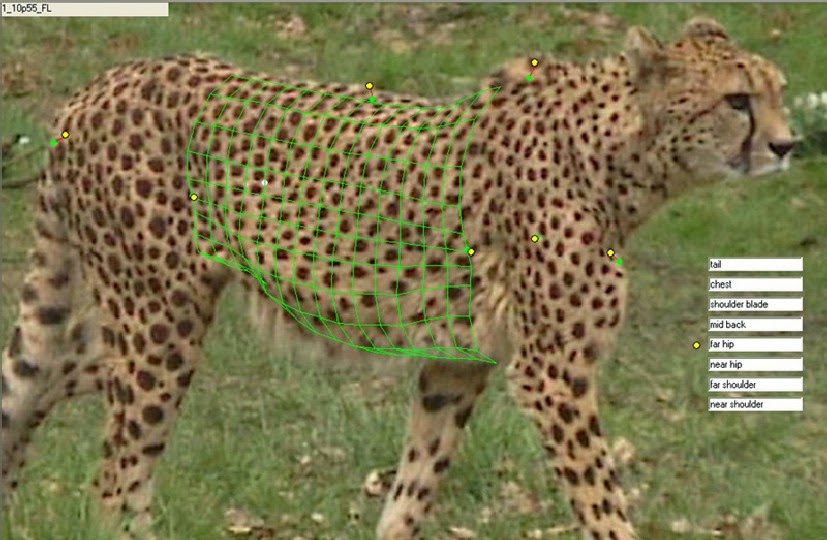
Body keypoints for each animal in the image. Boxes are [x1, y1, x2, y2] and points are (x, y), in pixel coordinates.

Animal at [1, 17, 794, 540]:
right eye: (736, 100)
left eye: (779, 91)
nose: (789, 145)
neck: (621, 156)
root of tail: (100, 84)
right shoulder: (553, 372)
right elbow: (603, 502)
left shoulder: (458, 362)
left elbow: (414, 485)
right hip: (160, 321)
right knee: (115, 476)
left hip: (148, 316)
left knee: (44, 374)